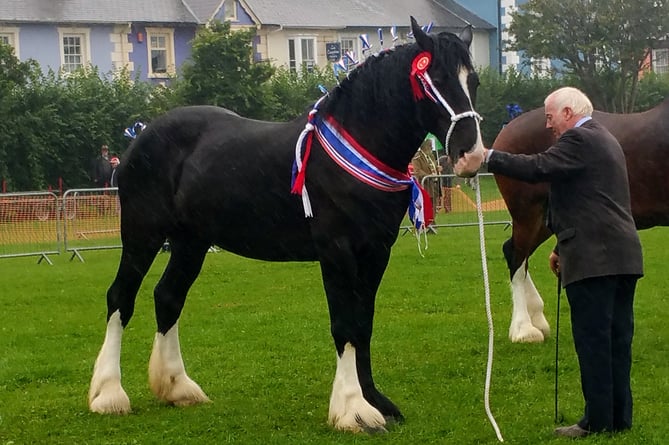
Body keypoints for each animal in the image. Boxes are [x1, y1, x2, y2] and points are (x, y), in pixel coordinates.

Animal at [87, 17, 486, 433]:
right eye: (436, 79)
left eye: (473, 81)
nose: (471, 155)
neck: (357, 146)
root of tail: (142, 136)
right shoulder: (337, 251)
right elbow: (344, 324)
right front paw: (351, 408)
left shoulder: (376, 252)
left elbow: (364, 324)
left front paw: (375, 402)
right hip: (141, 234)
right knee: (120, 298)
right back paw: (109, 394)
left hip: (190, 242)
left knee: (168, 297)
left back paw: (177, 387)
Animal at [491, 97, 669, 343]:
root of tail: (508, 128)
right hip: (527, 212)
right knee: (517, 256)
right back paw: (524, 329)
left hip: (543, 219)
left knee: (514, 252)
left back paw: (537, 320)